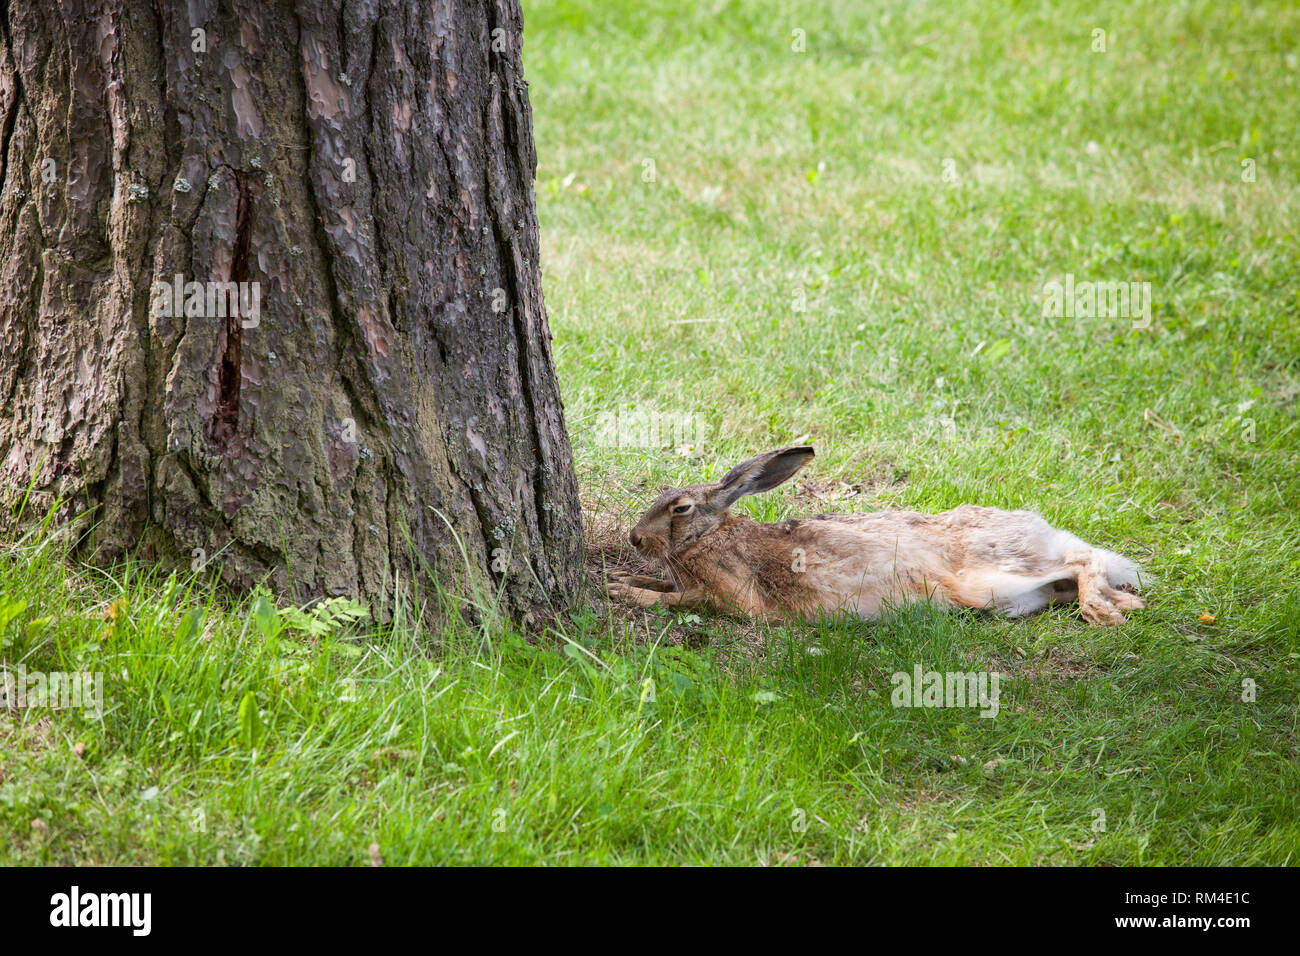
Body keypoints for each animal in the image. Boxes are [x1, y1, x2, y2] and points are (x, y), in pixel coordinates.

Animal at [606, 445, 1148, 625]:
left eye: (680, 508)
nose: (635, 539)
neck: (709, 535)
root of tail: (1041, 530)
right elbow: (660, 585)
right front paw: (620, 582)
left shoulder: (732, 597)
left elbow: (675, 600)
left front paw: (621, 593)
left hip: (989, 576)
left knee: (1082, 561)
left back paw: (1106, 609)